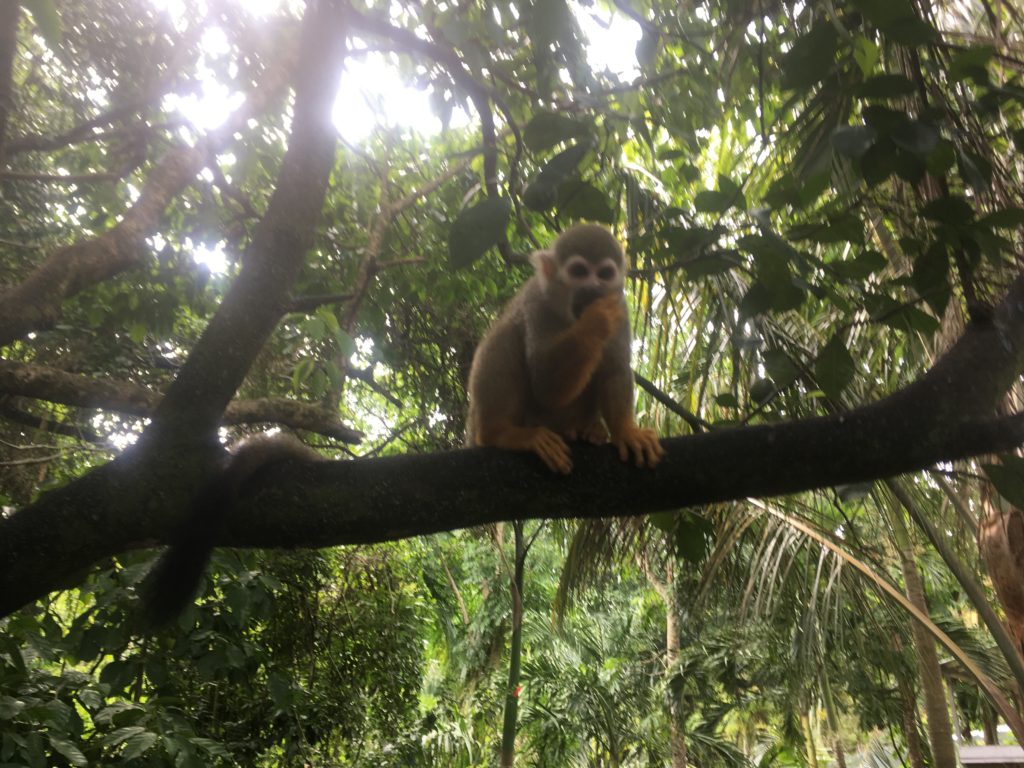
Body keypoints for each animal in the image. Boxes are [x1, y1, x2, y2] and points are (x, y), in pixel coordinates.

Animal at [466, 223, 664, 474]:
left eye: (605, 274)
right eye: (579, 271)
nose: (592, 288)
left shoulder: (620, 305)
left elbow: (614, 368)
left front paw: (626, 432)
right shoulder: (537, 301)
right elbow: (546, 383)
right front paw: (596, 319)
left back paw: (585, 429)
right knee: (506, 336)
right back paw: (500, 432)